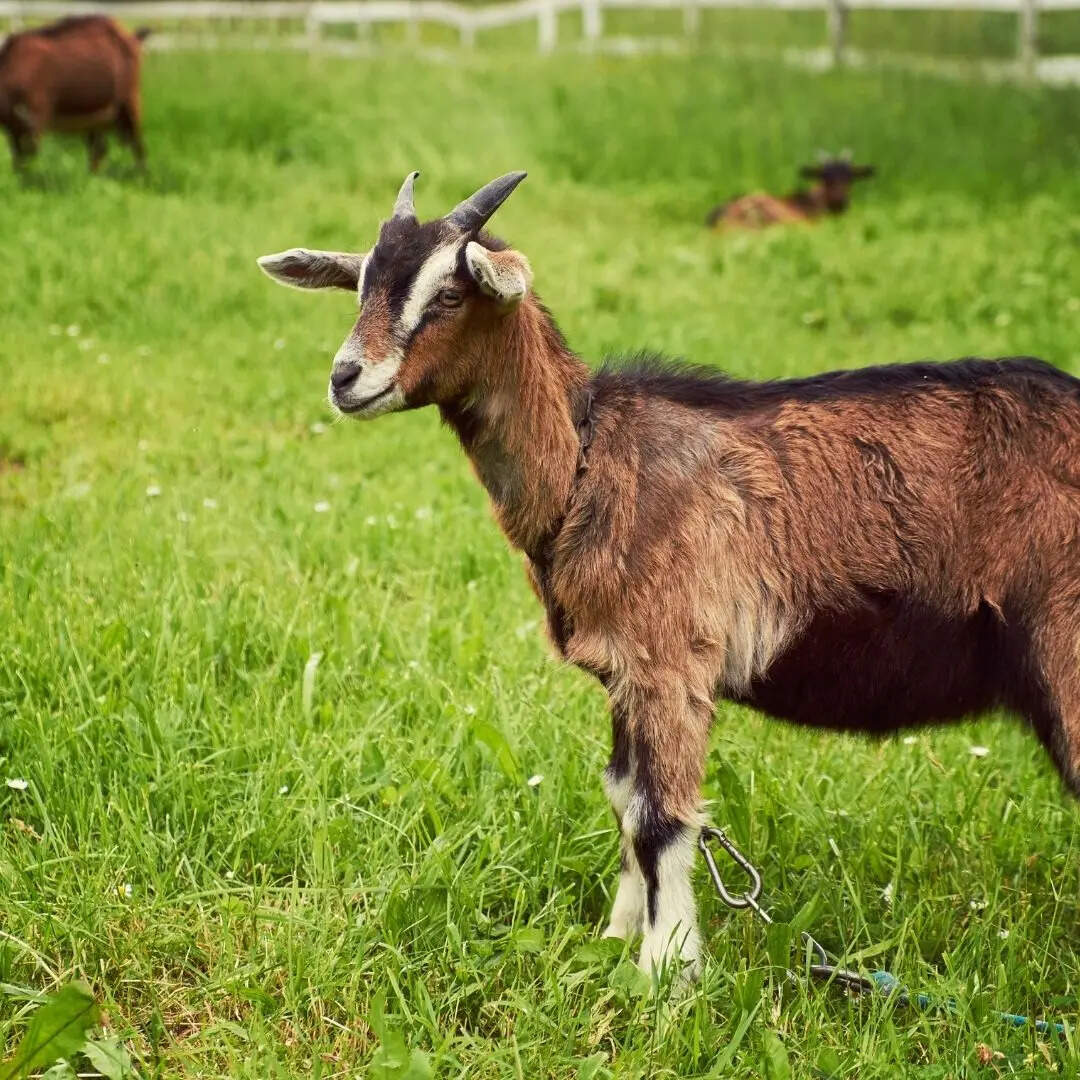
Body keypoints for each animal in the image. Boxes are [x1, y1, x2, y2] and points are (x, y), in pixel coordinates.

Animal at [0, 15, 149, 173]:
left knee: (137, 145)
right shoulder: (13, 128)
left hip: (130, 102)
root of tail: (130, 35)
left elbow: (26, 162)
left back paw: (143, 175)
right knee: (99, 150)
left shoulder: (33, 123)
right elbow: (18, 161)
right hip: (97, 118)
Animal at [259, 172, 1080, 984]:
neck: (590, 458)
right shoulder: (623, 670)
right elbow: (624, 796)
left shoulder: (669, 660)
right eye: (362, 284)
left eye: (450, 294)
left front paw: (666, 973)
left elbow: (660, 817)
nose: (345, 378)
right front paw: (618, 937)